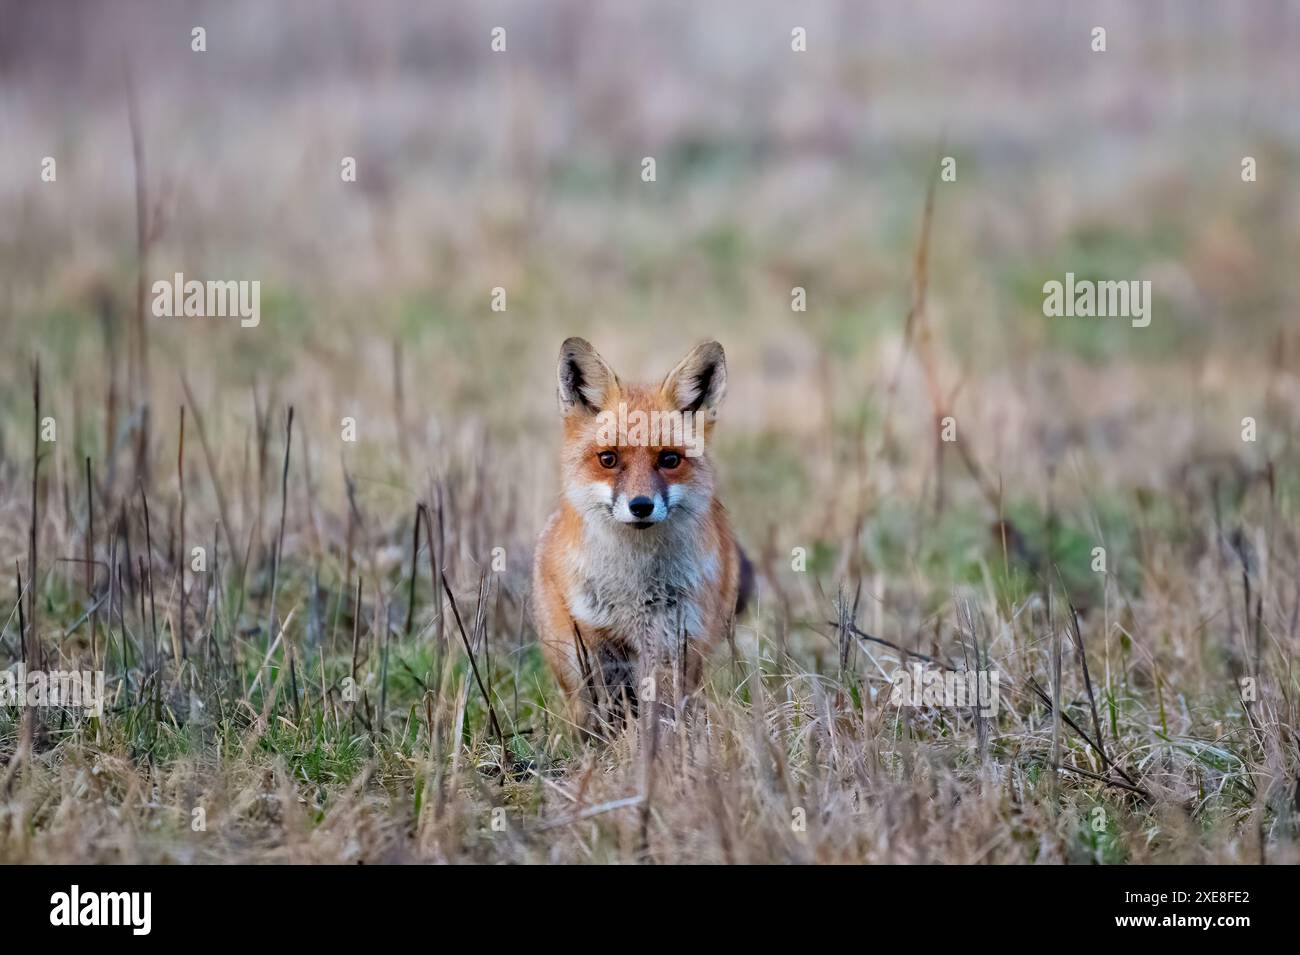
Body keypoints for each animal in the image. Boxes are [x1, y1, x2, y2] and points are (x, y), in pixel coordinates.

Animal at [532, 337, 753, 735]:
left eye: (669, 459)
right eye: (608, 459)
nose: (641, 506)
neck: (635, 583)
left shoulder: (677, 638)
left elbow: (663, 708)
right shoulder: (597, 636)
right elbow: (612, 707)